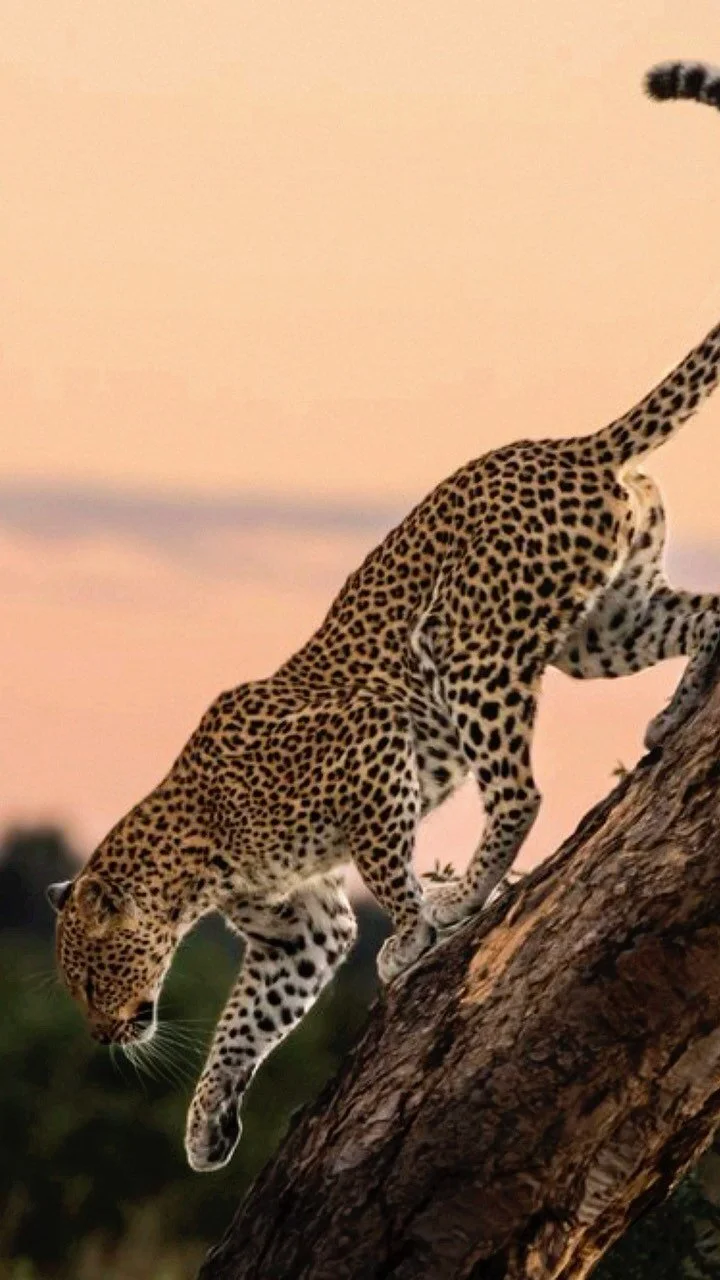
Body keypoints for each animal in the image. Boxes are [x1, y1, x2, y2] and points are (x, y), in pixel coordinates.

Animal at [48, 82, 720, 1174]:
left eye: (95, 973)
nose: (107, 1033)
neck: (197, 854)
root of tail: (573, 444)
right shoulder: (299, 924)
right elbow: (244, 1021)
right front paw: (206, 1118)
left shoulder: (367, 760)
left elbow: (389, 871)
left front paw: (412, 932)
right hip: (601, 623)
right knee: (711, 611)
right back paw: (674, 716)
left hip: (472, 648)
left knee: (521, 792)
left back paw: (464, 897)